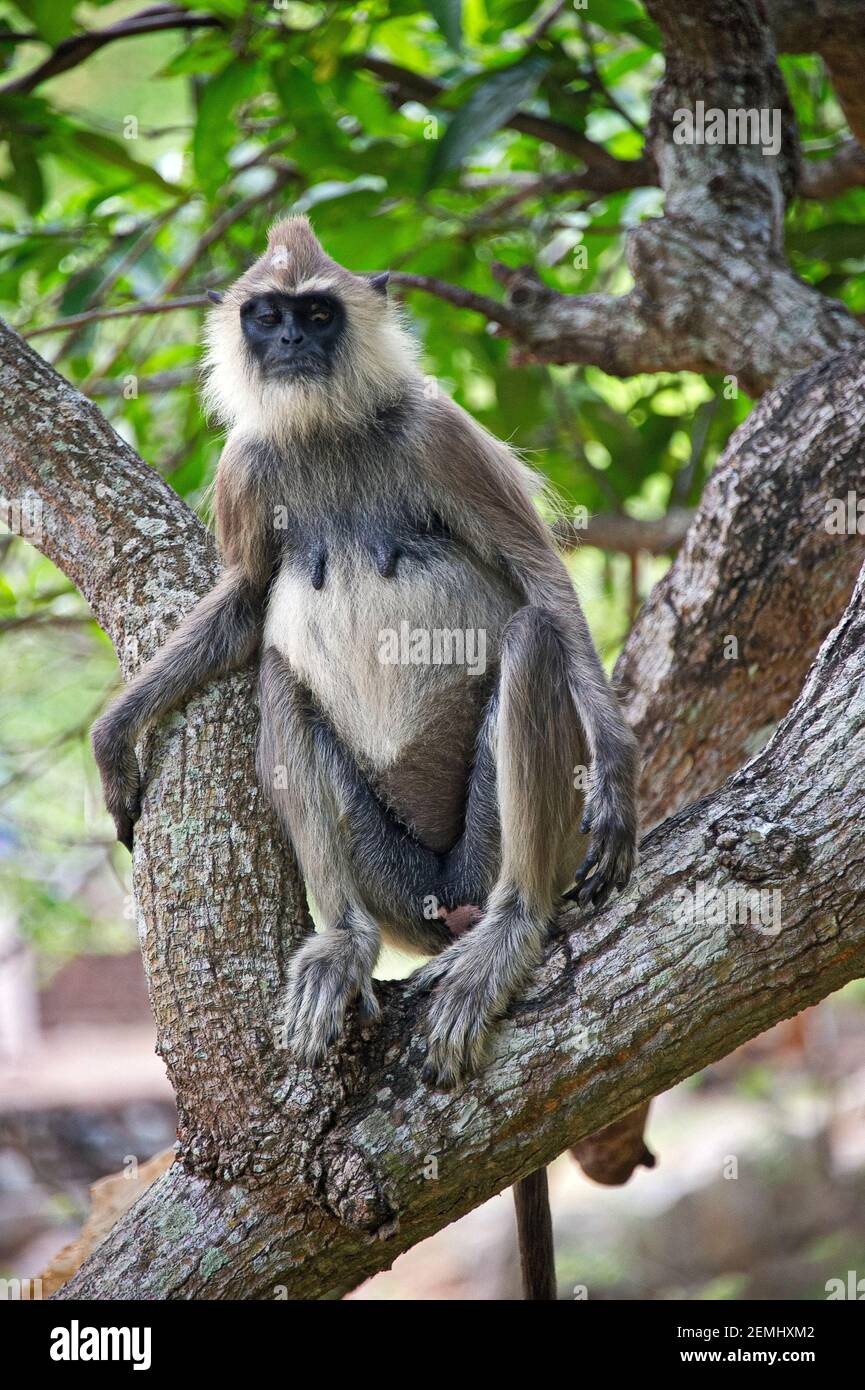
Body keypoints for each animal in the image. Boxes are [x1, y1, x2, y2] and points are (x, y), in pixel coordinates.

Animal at [91, 215, 639, 1300]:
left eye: (316, 315)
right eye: (266, 314)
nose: (287, 346)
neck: (325, 435)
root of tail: (446, 907)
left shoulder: (437, 432)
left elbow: (542, 580)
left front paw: (618, 768)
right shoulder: (249, 466)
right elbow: (245, 601)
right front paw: (119, 725)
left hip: (486, 851)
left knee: (530, 641)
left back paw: (510, 928)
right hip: (399, 887)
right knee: (278, 682)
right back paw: (342, 942)